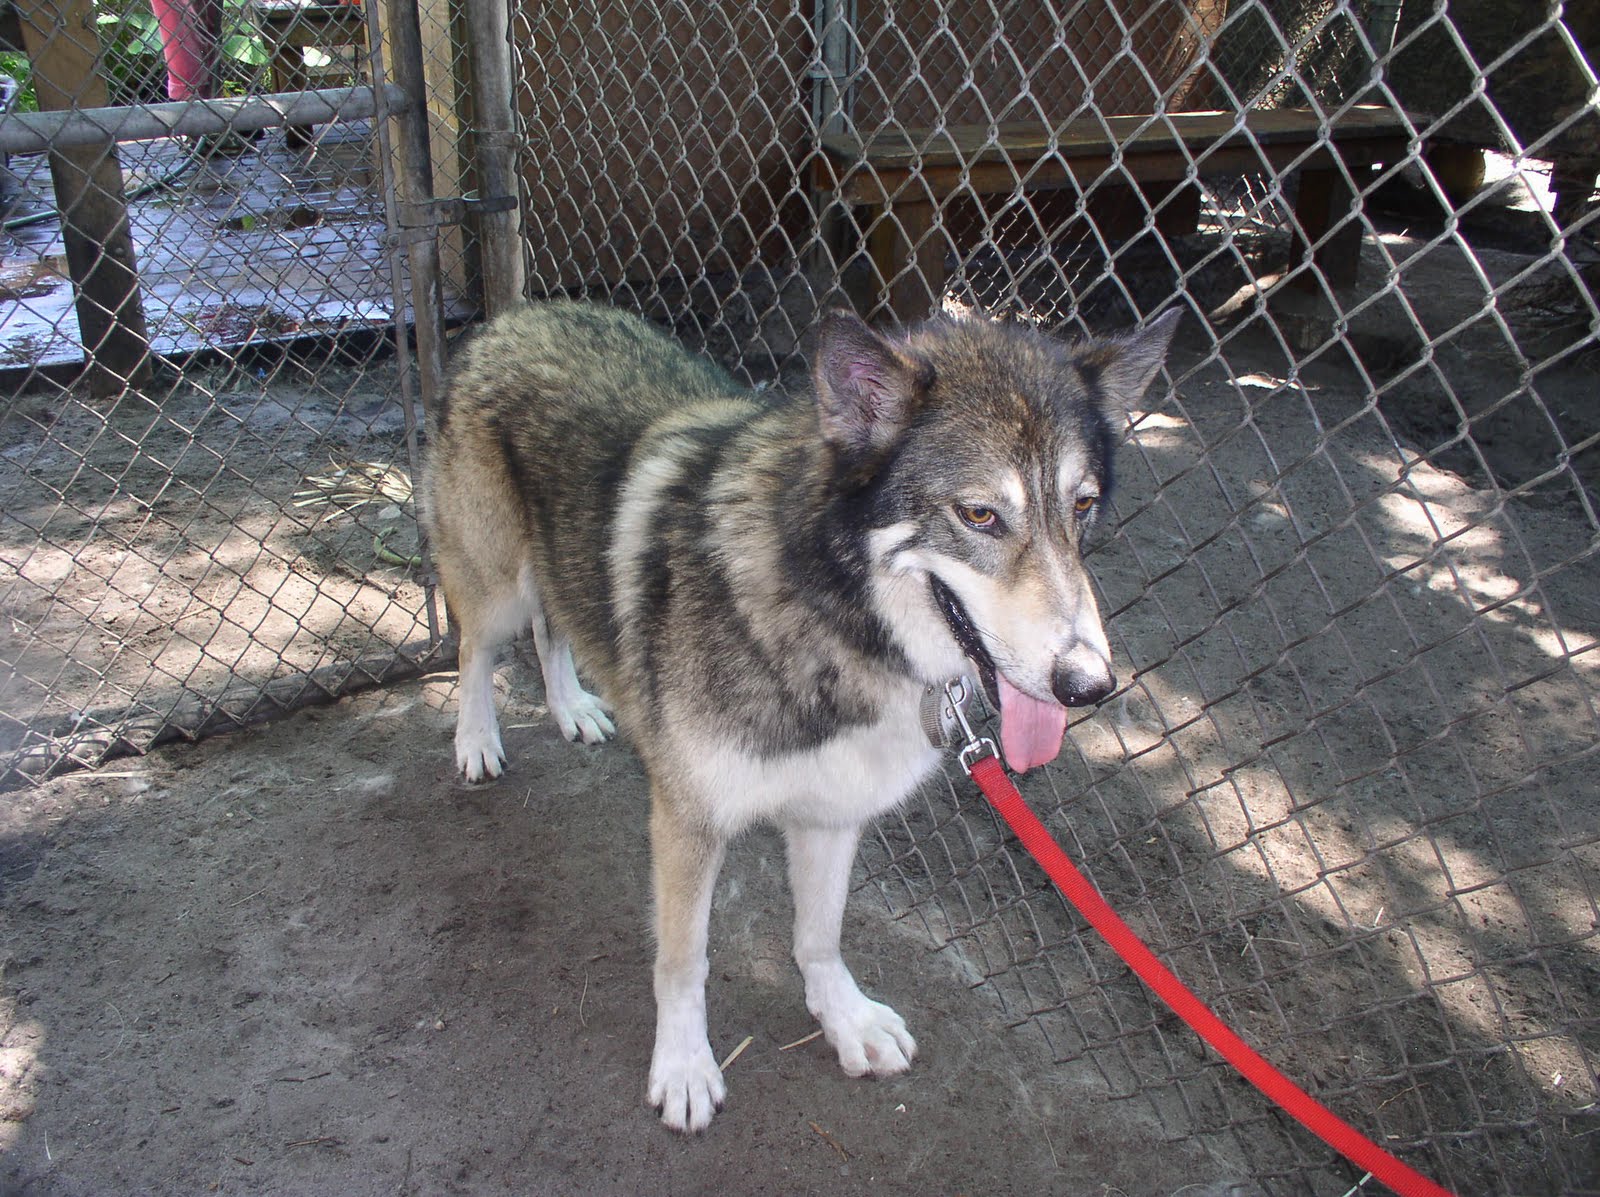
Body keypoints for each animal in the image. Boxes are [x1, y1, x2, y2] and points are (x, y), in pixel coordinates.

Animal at [421, 299, 1177, 1131]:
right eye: (980, 514)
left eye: (1083, 505)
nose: (1089, 683)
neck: (829, 619)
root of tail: (513, 315)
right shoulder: (688, 821)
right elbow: (683, 960)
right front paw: (683, 1067)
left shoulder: (833, 814)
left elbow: (820, 937)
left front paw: (845, 1019)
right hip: (498, 584)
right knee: (475, 648)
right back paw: (476, 740)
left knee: (551, 629)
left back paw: (573, 709)